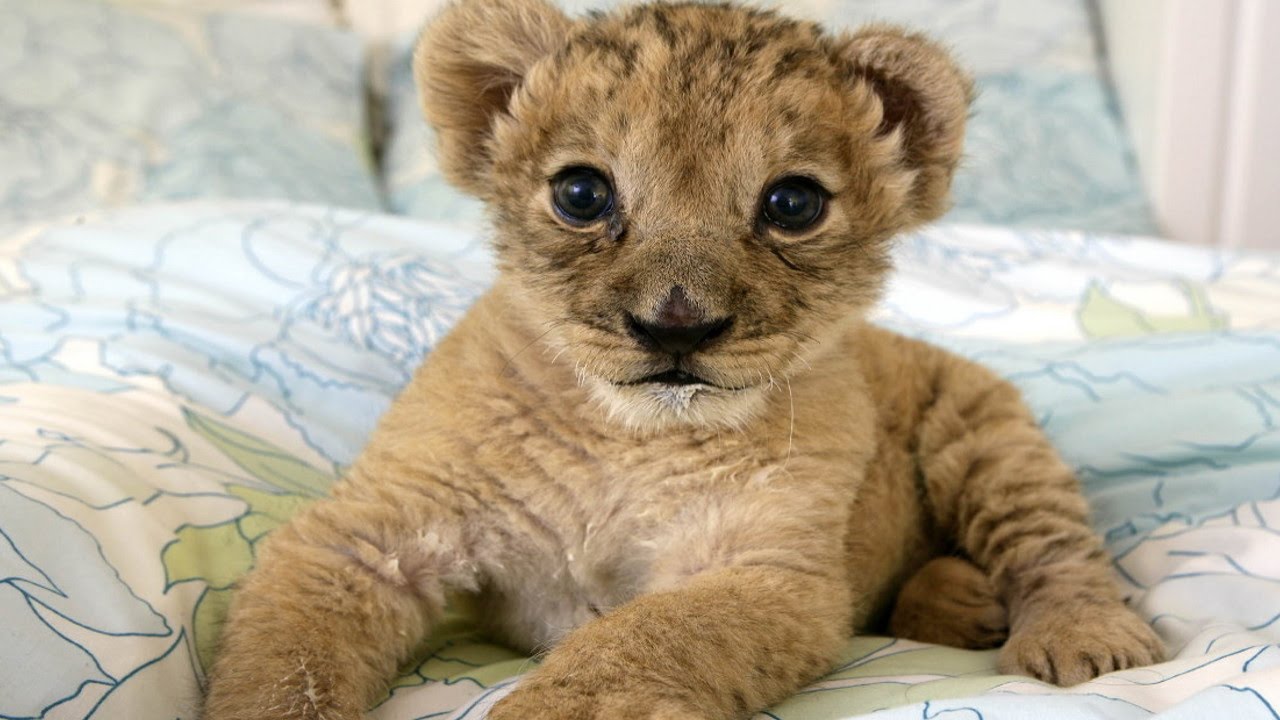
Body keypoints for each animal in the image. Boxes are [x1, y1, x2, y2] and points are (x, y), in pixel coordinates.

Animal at [202, 1, 1164, 718]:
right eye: (581, 193)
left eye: (793, 203)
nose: (675, 328)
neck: (625, 438)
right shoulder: (366, 538)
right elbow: (285, 669)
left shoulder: (769, 571)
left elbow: (634, 641)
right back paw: (961, 601)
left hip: (986, 434)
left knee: (1055, 544)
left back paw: (1078, 637)